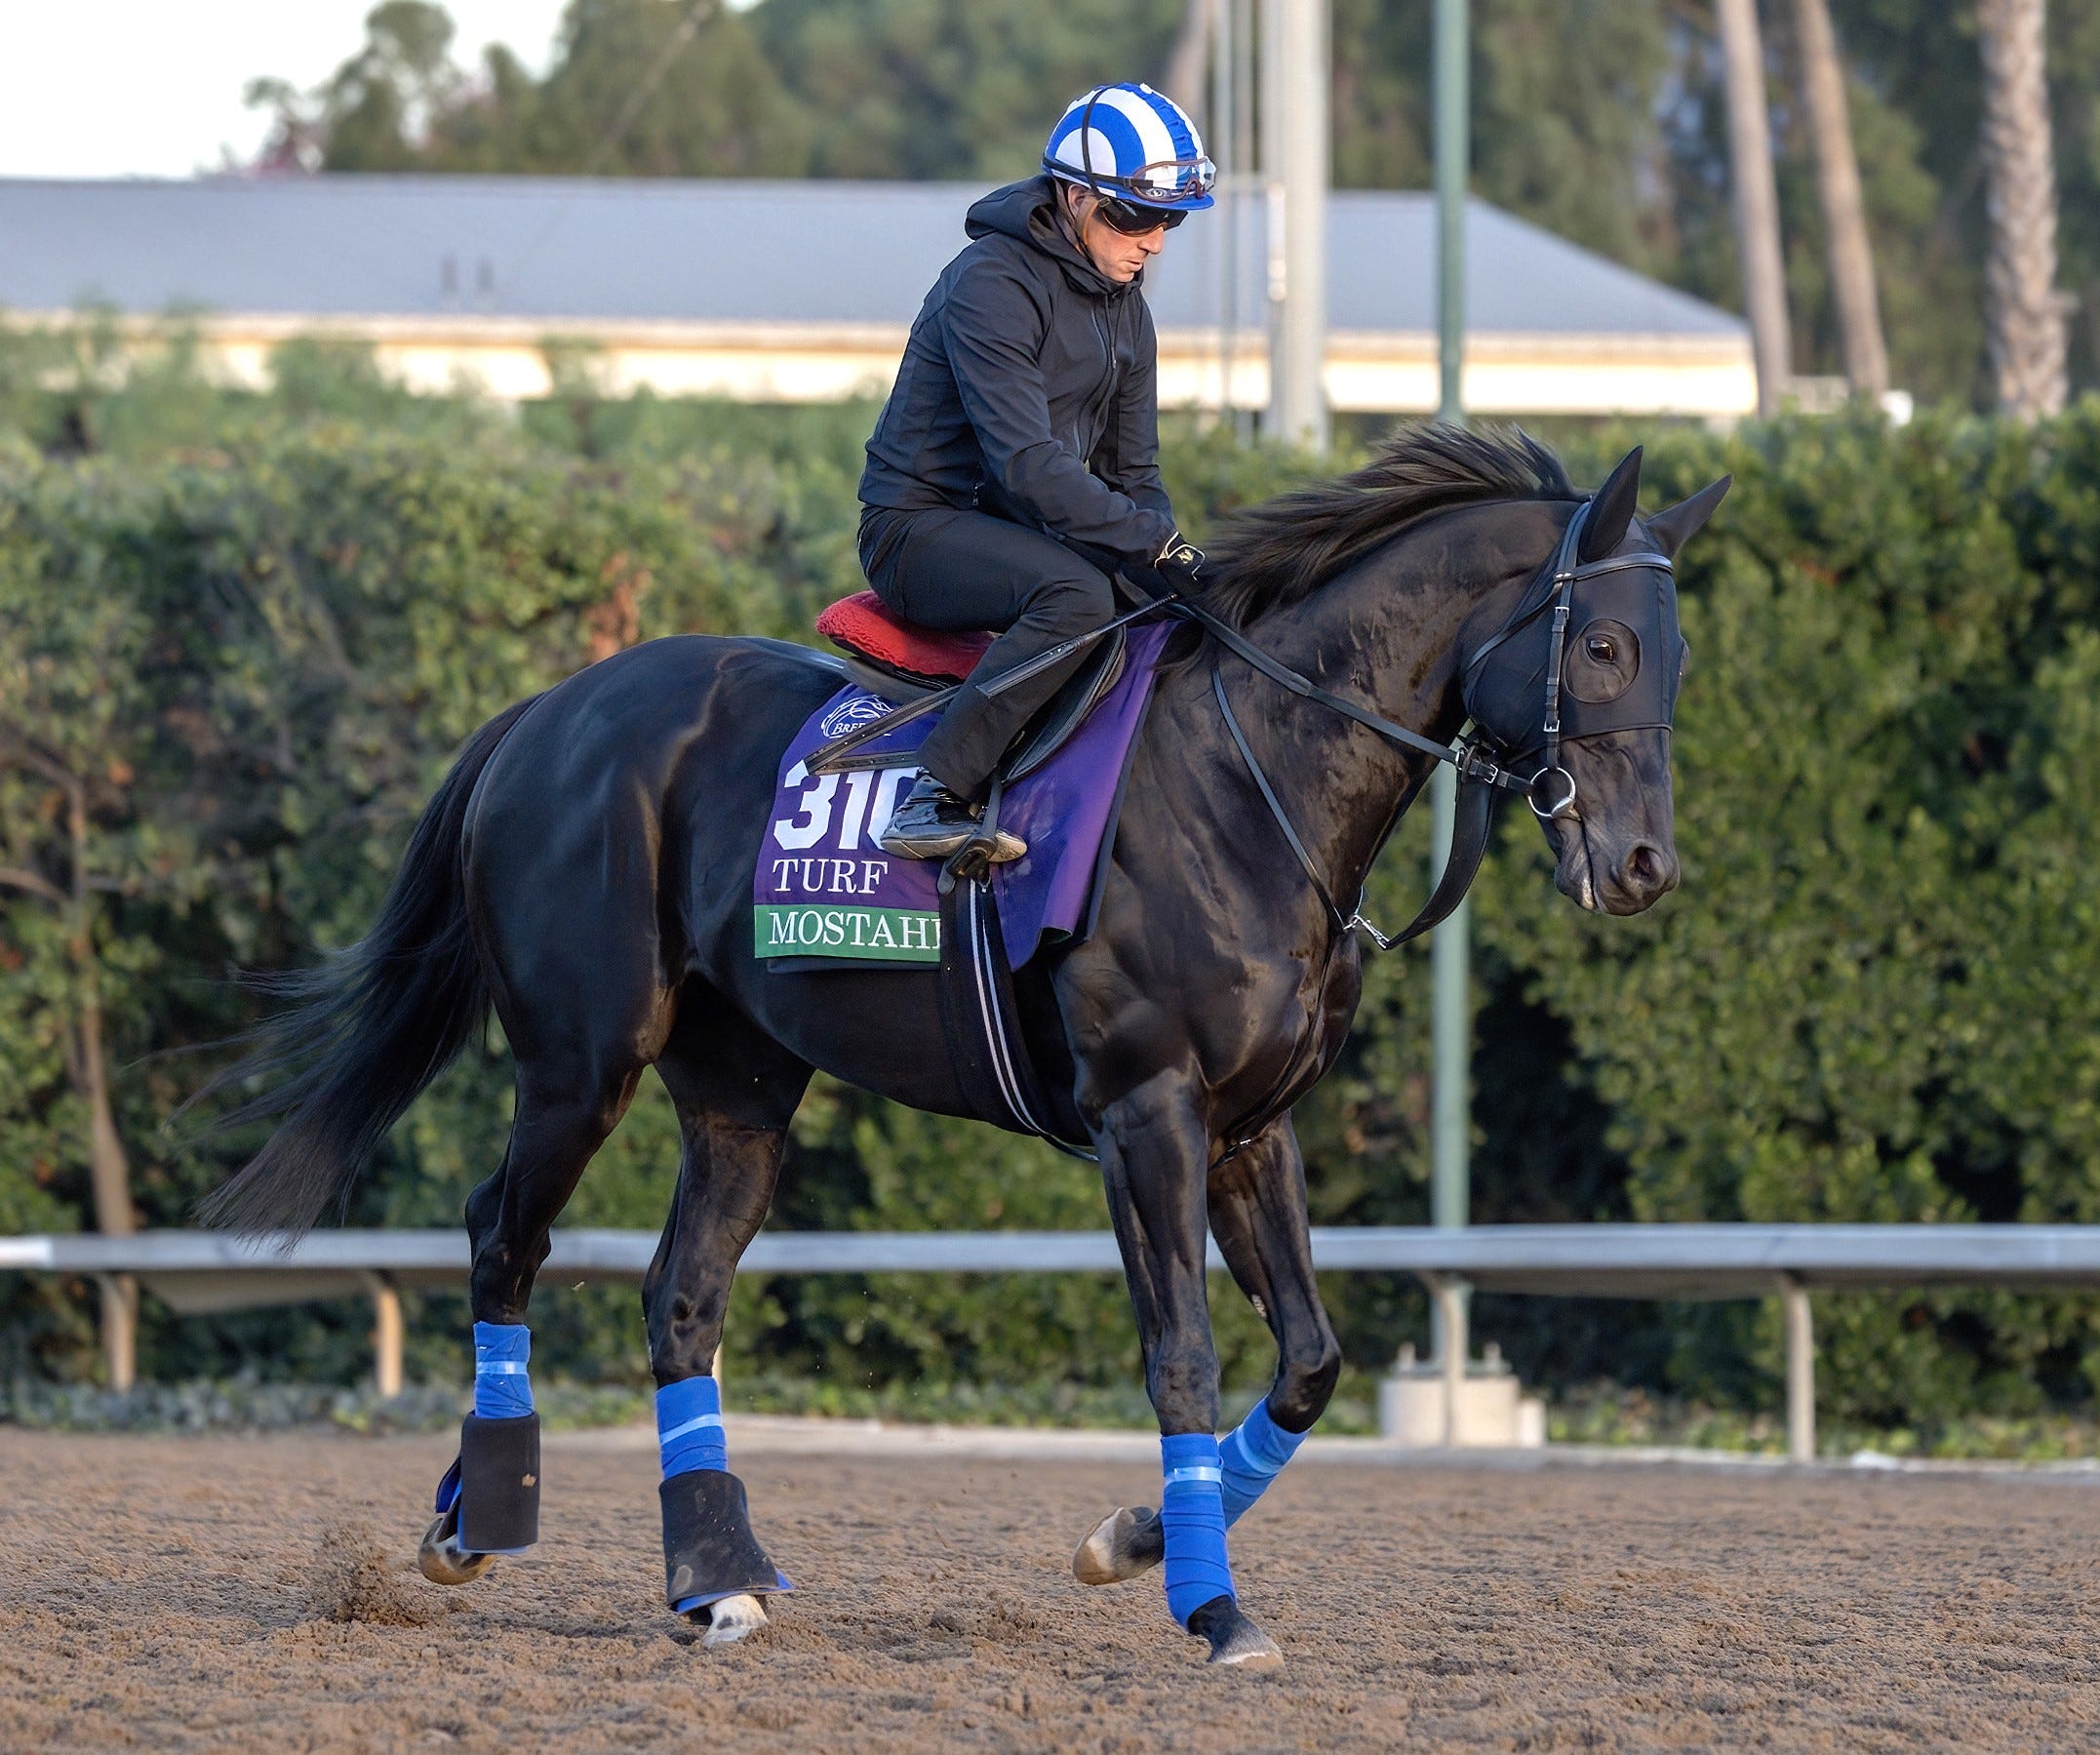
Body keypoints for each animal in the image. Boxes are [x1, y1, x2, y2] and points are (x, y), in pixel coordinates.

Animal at [202, 425, 1728, 1667]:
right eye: (1600, 646)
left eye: (1676, 653)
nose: (1642, 863)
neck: (1253, 780)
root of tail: (547, 710)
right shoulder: (1145, 1113)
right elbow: (1183, 1353)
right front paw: (1209, 1603)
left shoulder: (1251, 1123)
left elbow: (1307, 1359)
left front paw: (1129, 1537)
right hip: (584, 1063)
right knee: (499, 1235)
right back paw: (476, 1516)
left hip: (741, 1090)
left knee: (679, 1297)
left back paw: (716, 1578)